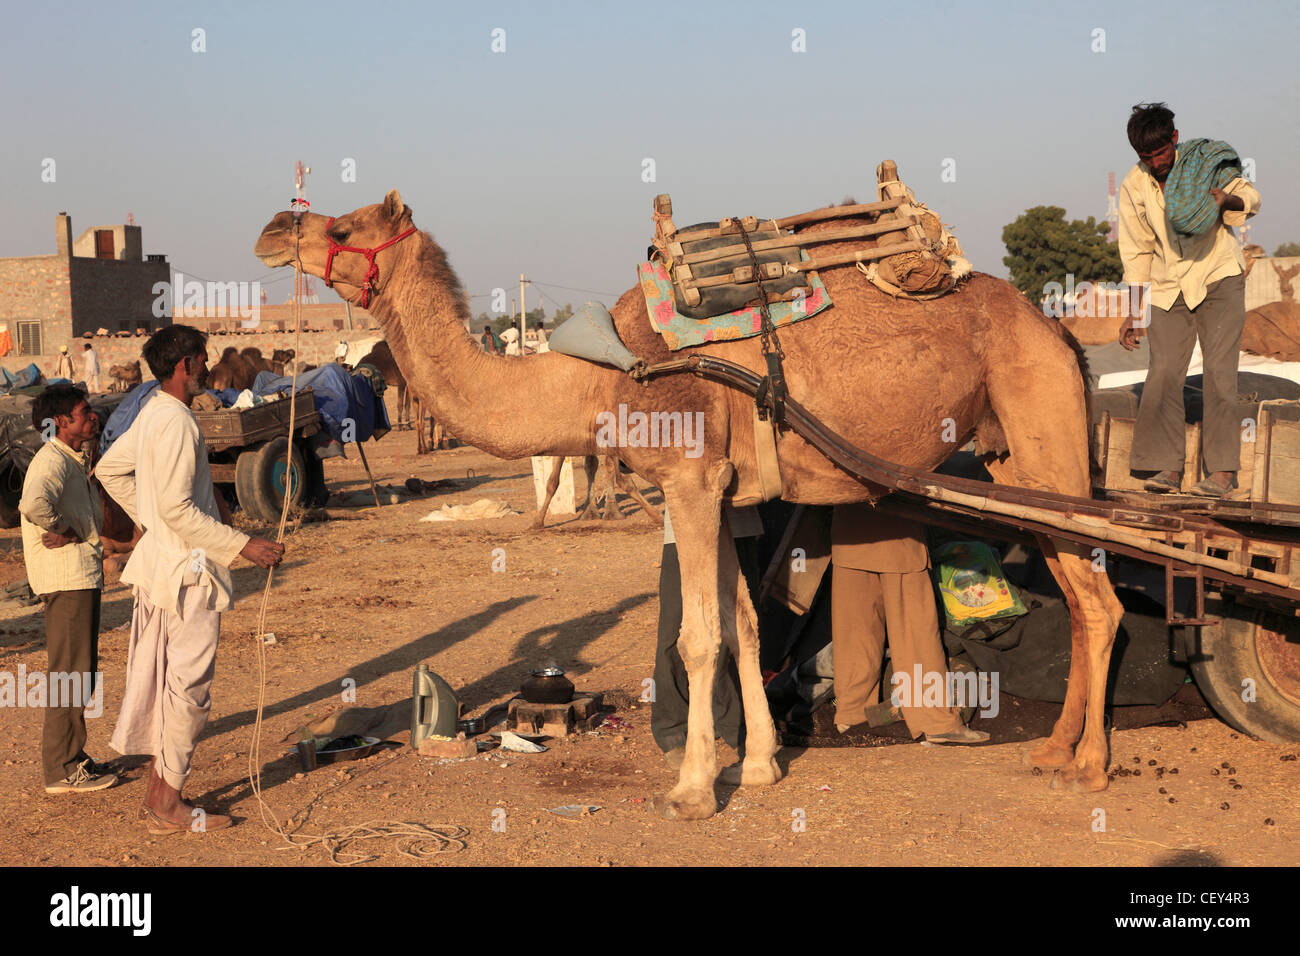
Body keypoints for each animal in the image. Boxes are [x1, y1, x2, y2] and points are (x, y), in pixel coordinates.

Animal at [256, 189, 1124, 819]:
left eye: (342, 224)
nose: (273, 227)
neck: (599, 375)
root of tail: (1056, 331)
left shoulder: (691, 479)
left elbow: (700, 638)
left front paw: (695, 789)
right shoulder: (723, 492)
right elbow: (744, 626)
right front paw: (765, 765)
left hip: (1043, 427)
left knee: (1099, 598)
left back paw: (1087, 766)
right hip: (1013, 453)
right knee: (1080, 590)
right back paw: (1053, 751)